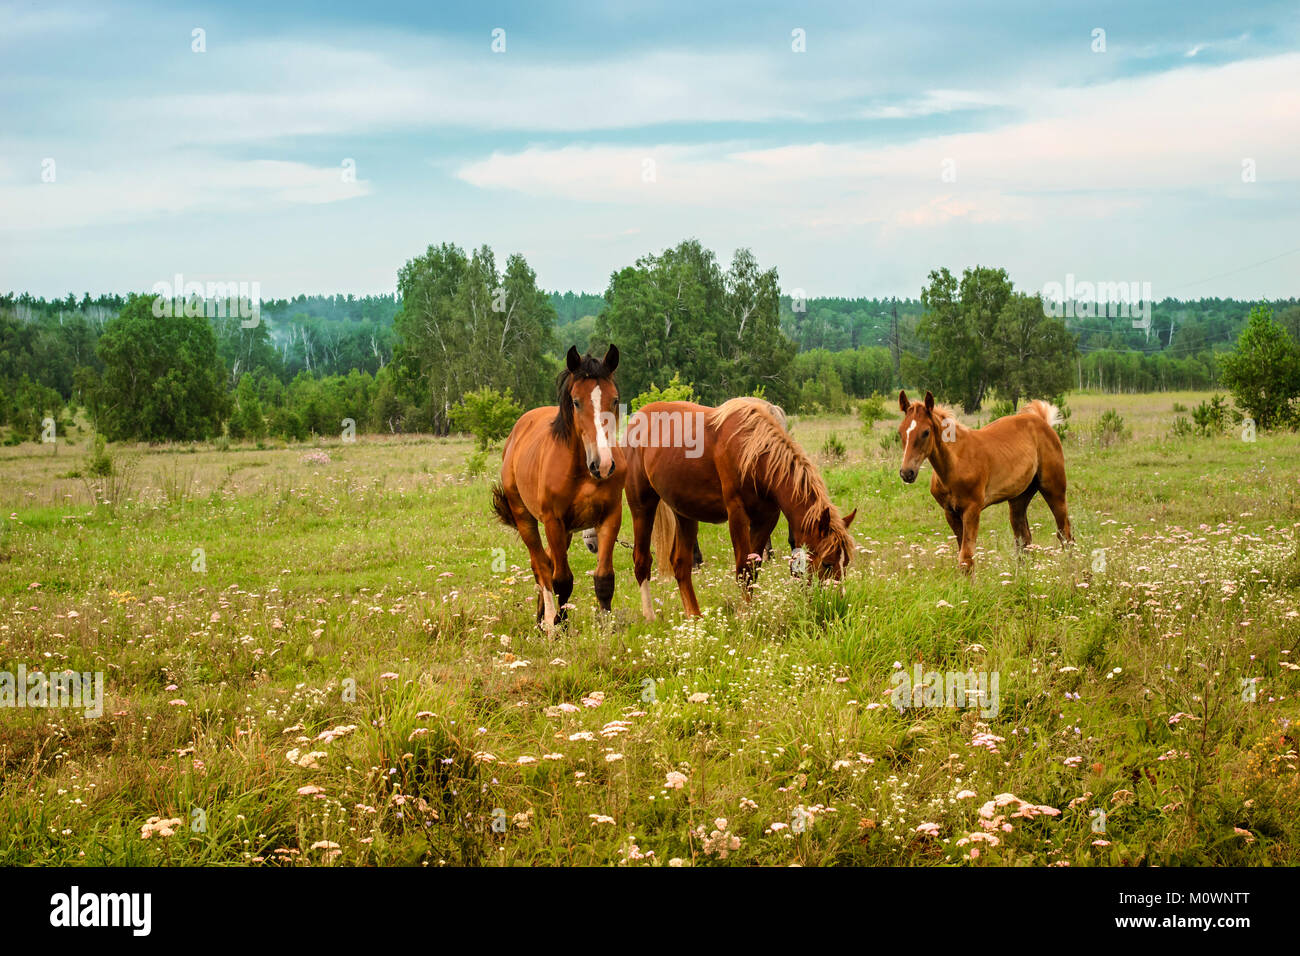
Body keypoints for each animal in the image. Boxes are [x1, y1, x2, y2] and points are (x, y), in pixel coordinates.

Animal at [492, 345, 623, 632]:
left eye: (615, 400)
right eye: (576, 402)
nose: (603, 464)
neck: (582, 470)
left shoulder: (610, 517)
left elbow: (604, 578)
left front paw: (606, 629)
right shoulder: (553, 521)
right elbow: (562, 580)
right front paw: (560, 626)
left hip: (568, 531)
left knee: (549, 563)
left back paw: (543, 617)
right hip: (526, 519)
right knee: (541, 567)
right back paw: (548, 624)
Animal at [625, 397, 857, 618]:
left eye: (845, 563)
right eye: (827, 563)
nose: (837, 604)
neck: (753, 453)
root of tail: (637, 418)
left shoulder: (767, 518)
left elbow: (753, 570)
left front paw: (749, 613)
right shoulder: (737, 513)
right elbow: (743, 569)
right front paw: (745, 617)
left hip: (684, 512)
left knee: (681, 564)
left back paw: (695, 619)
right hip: (641, 505)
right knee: (642, 560)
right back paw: (650, 617)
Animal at [896, 390, 1073, 571]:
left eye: (926, 432)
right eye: (900, 432)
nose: (907, 472)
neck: (955, 464)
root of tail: (1042, 421)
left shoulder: (972, 510)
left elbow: (966, 557)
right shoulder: (950, 512)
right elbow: (963, 554)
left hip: (1054, 489)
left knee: (1065, 534)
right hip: (1019, 498)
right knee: (1024, 538)